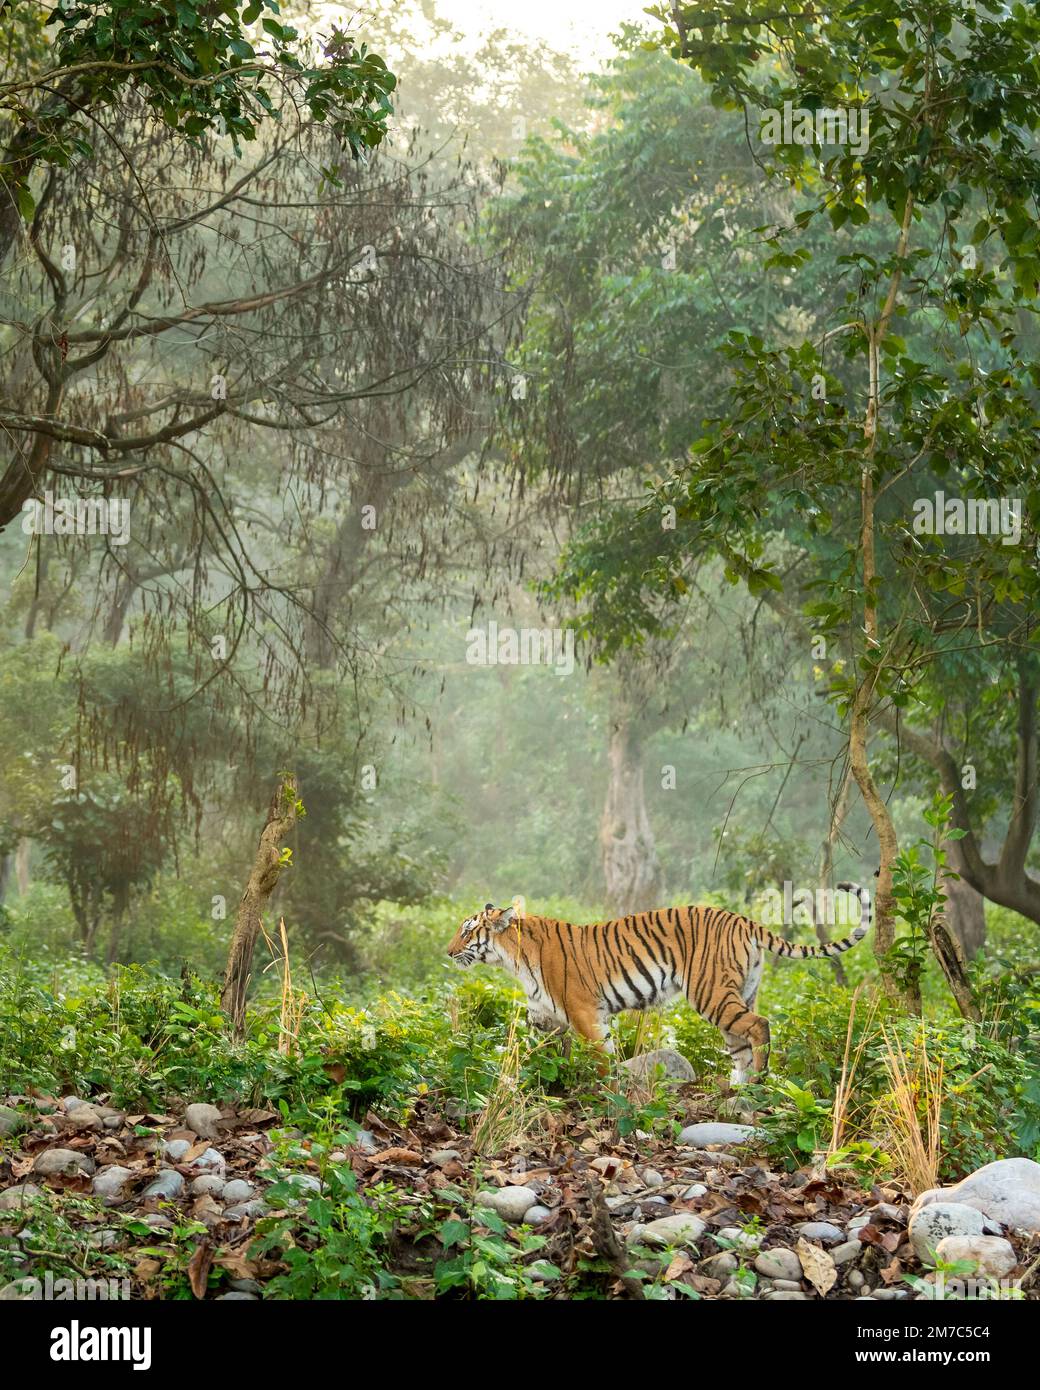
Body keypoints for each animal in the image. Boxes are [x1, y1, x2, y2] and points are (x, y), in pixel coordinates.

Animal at [446, 883, 871, 1085]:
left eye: (466, 931)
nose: (448, 952)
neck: (512, 958)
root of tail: (743, 919)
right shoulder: (545, 1016)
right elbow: (534, 1052)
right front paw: (521, 1079)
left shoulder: (585, 1012)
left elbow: (602, 1058)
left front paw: (606, 1092)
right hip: (741, 993)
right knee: (742, 1044)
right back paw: (740, 1088)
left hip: (711, 993)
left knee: (760, 1026)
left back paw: (761, 1080)